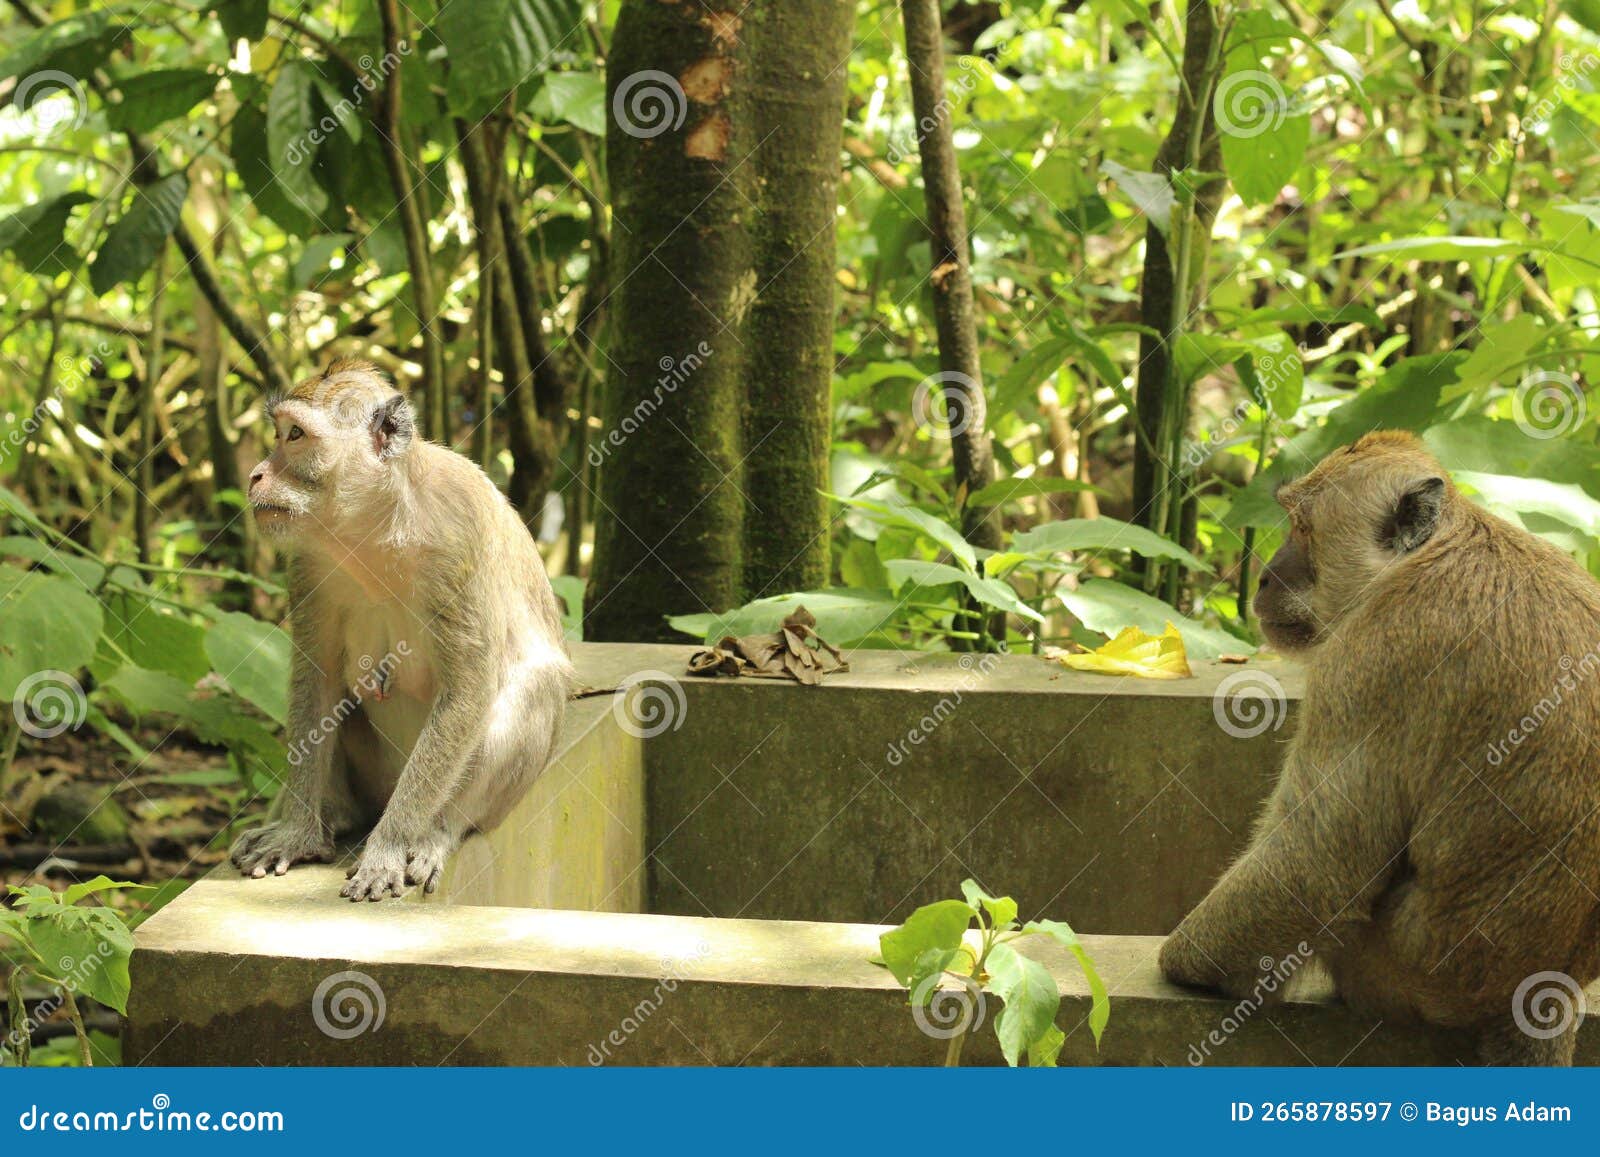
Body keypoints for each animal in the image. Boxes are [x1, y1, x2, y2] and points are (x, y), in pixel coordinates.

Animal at [229, 358, 572, 901]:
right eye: (279, 433)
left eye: (295, 435)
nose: (255, 474)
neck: (376, 529)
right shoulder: (307, 561)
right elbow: (316, 681)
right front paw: (295, 833)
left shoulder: (457, 540)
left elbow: (468, 690)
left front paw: (388, 848)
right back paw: (336, 816)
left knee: (536, 686)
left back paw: (437, 832)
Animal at [1160, 430, 1600, 1065]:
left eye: (1303, 528)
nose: (1264, 577)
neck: (1432, 549)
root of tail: (1546, 986)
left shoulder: (1369, 656)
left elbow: (1319, 861)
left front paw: (1183, 963)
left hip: (1393, 971)